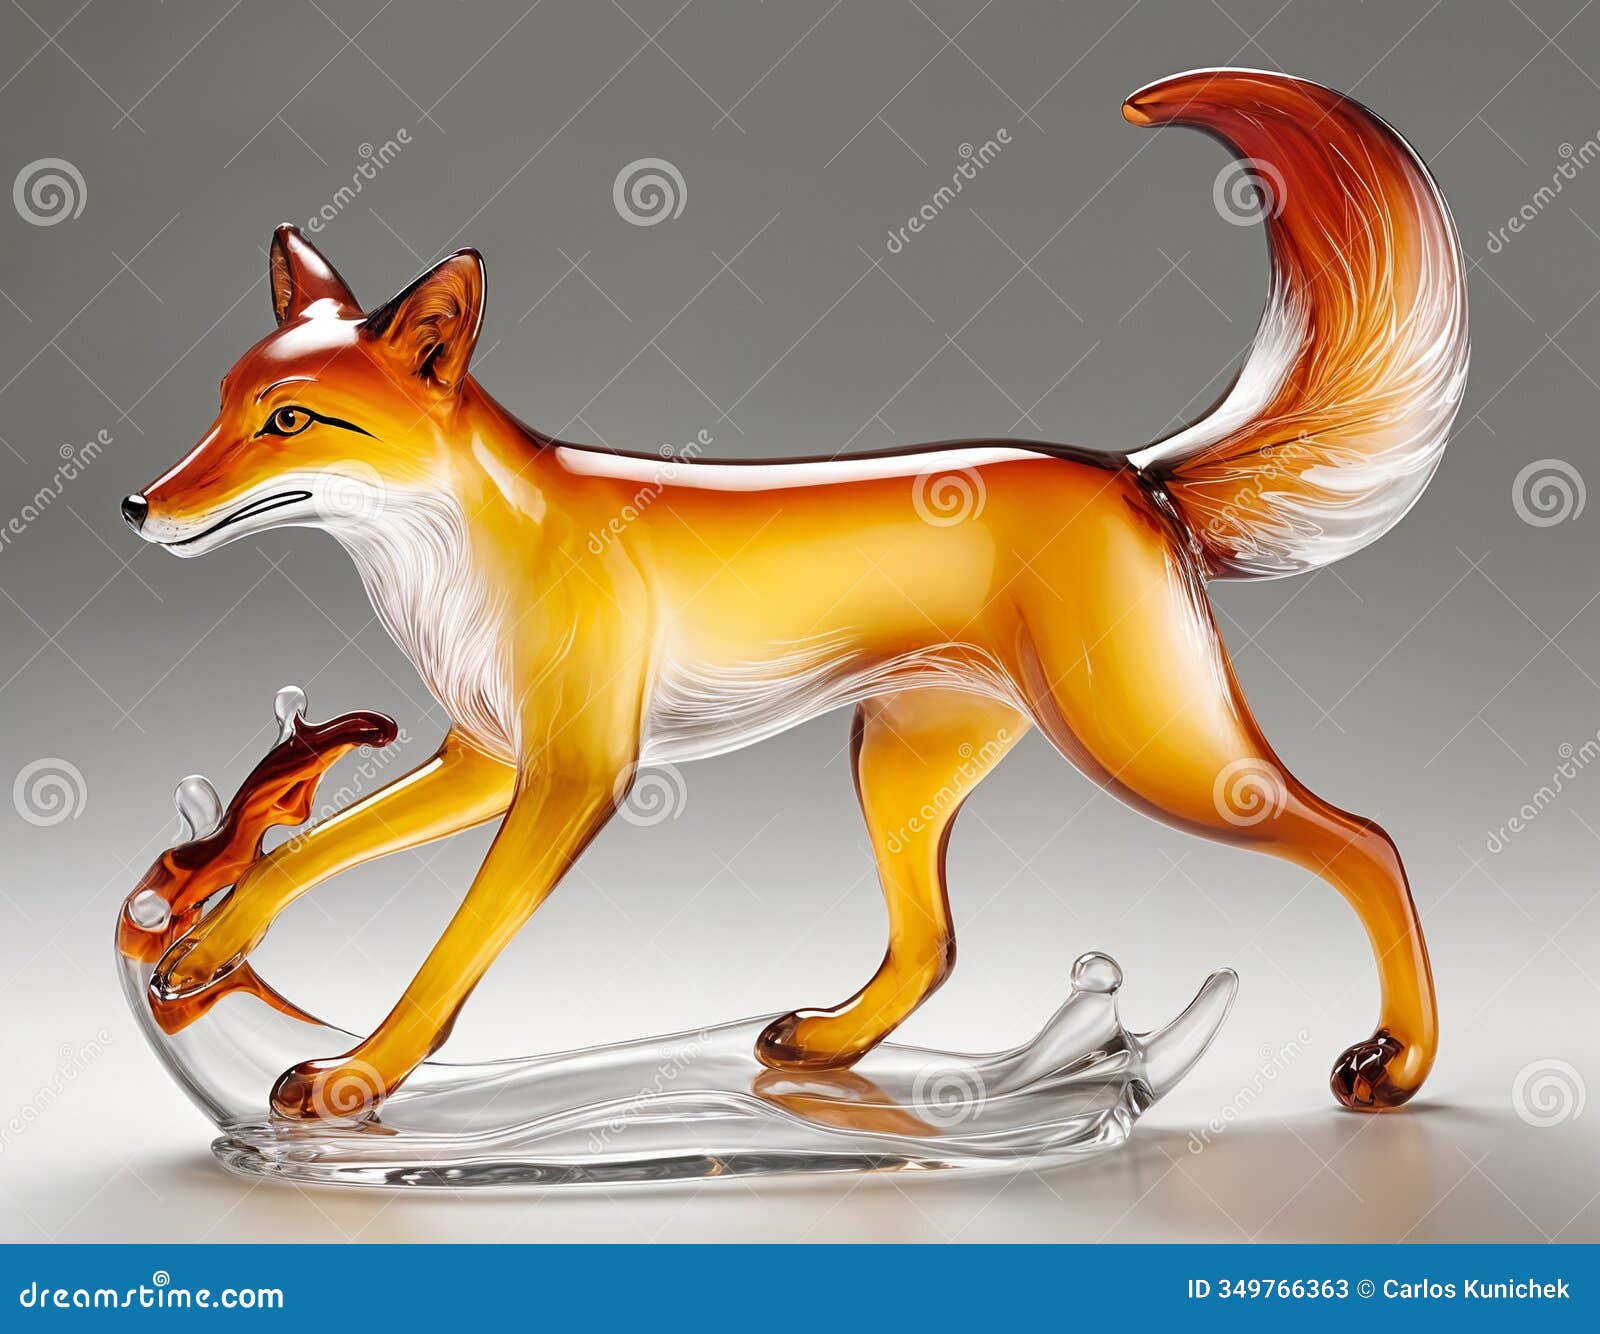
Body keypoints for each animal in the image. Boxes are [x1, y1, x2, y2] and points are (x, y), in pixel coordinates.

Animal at [125, 69, 1467, 1123]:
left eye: (290, 422)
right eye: (225, 405)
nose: (138, 505)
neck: (457, 559)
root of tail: (1133, 472)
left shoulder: (571, 776)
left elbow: (449, 952)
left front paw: (357, 1076)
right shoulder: (486, 760)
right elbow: (309, 853)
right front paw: (204, 945)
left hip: (1155, 750)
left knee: (1371, 841)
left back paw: (1396, 1062)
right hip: (900, 766)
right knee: (932, 945)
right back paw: (829, 1045)